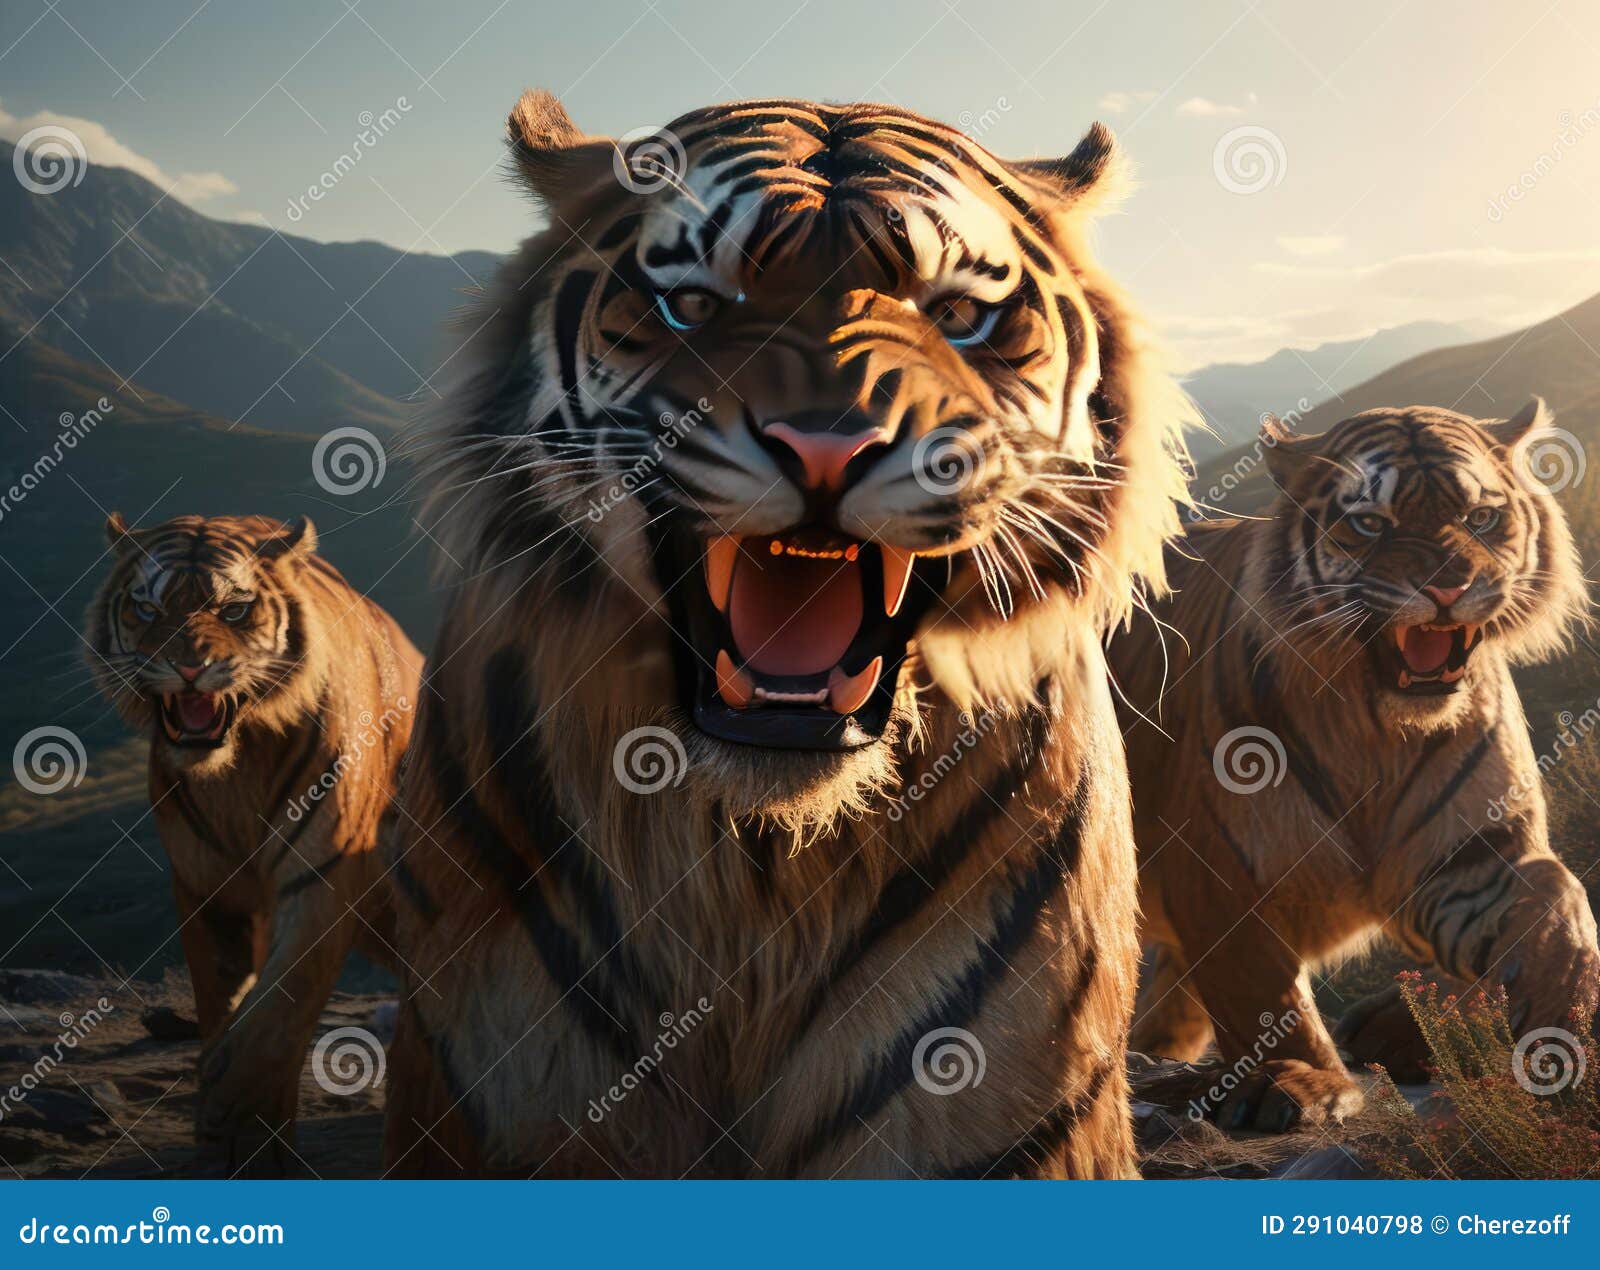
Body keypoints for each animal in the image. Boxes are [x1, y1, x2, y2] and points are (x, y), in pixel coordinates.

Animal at [85, 512, 423, 1173]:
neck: (236, 766)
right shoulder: (207, 890)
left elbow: (276, 1012)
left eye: (235, 609)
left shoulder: (321, 877)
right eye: (146, 607)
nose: (188, 668)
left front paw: (231, 1111)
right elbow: (223, 1003)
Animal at [1110, 400, 1599, 1131]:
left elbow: (1556, 904)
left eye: (1481, 517)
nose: (1448, 585)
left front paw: (1557, 1028)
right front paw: (1294, 1083)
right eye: (1370, 524)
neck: (1376, 730)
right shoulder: (1221, 864)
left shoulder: (1473, 851)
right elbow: (1257, 985)